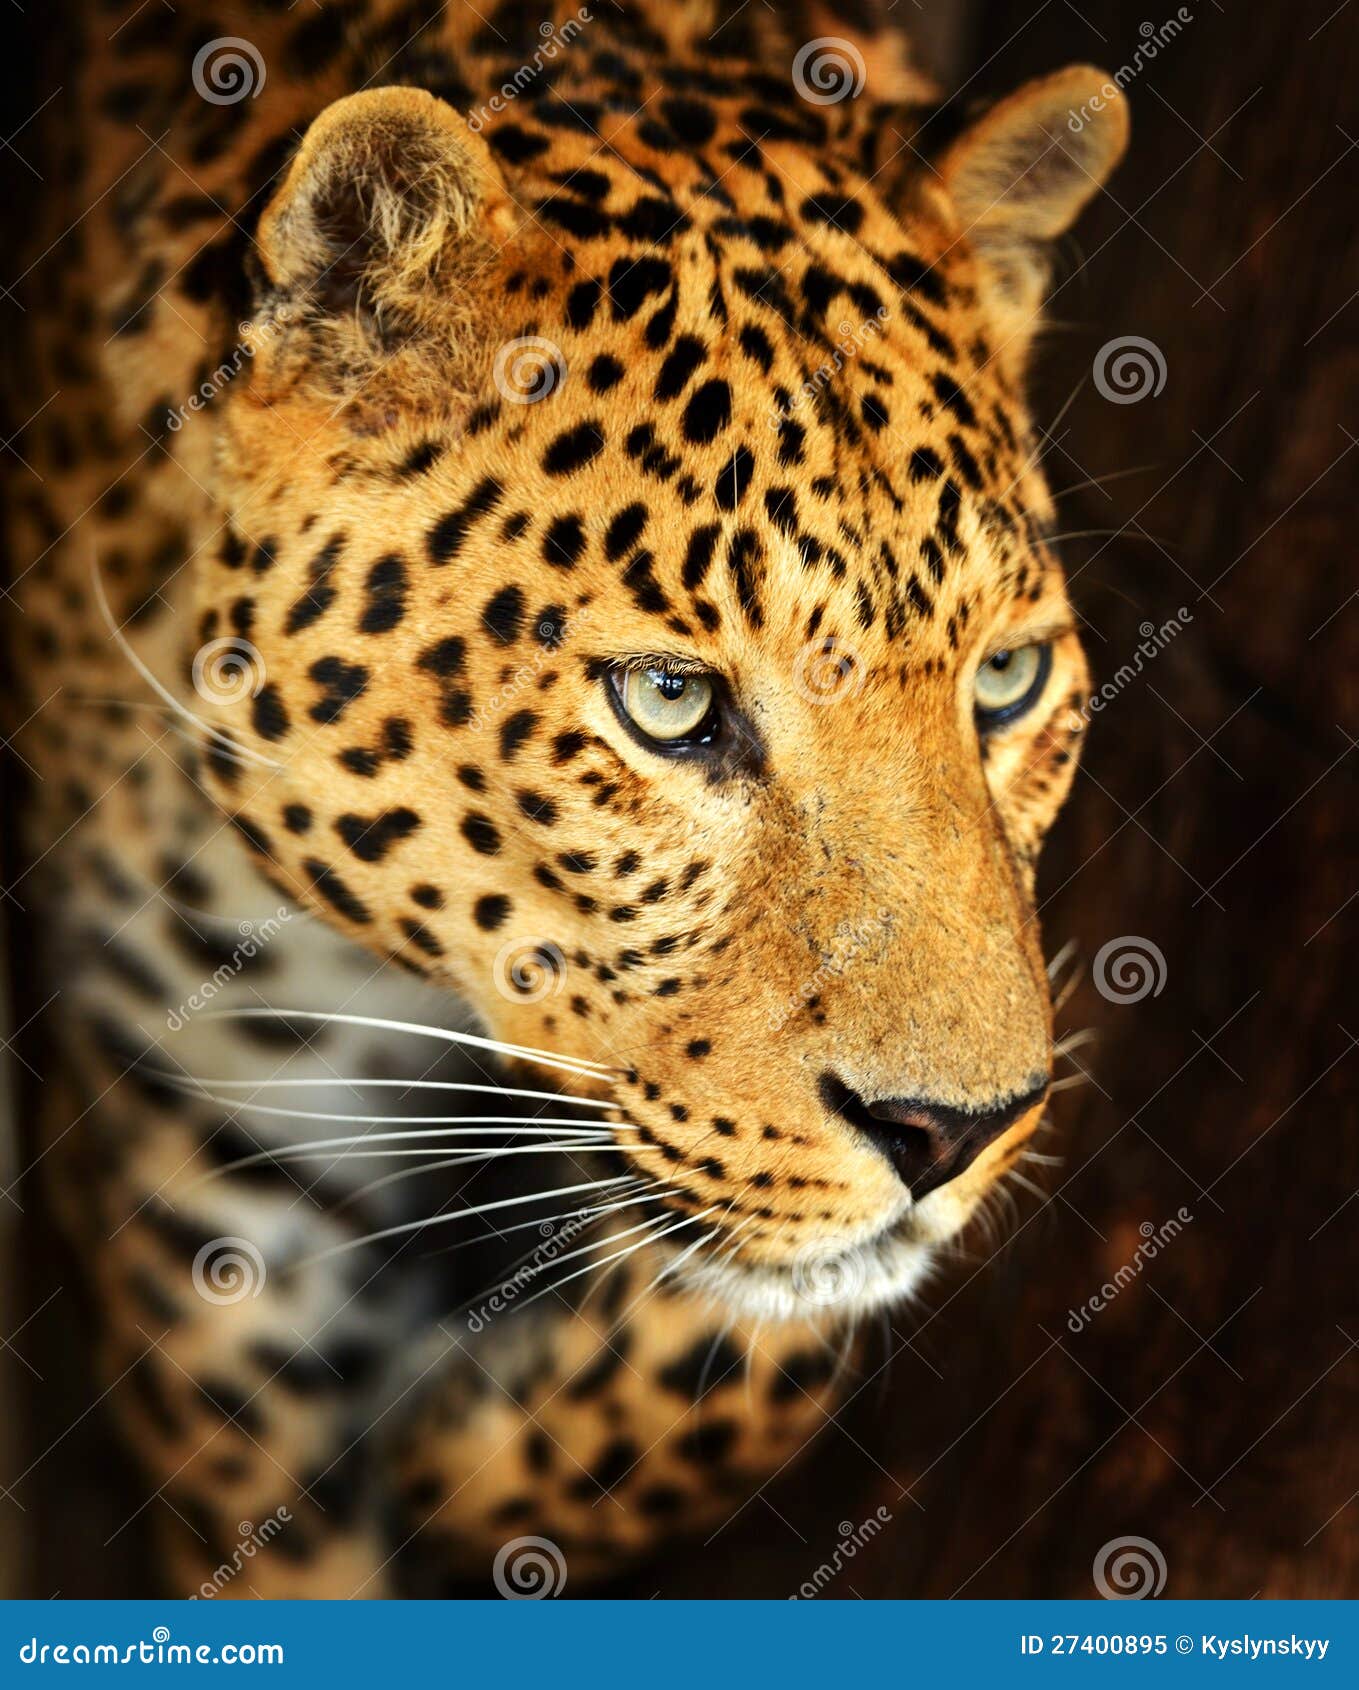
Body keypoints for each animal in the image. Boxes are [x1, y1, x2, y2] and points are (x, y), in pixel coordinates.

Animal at [1, 0, 1127, 1597]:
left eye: (1008, 681)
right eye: (668, 702)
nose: (951, 1132)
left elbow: (753, 1336)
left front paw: (468, 1468)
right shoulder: (205, 1106)